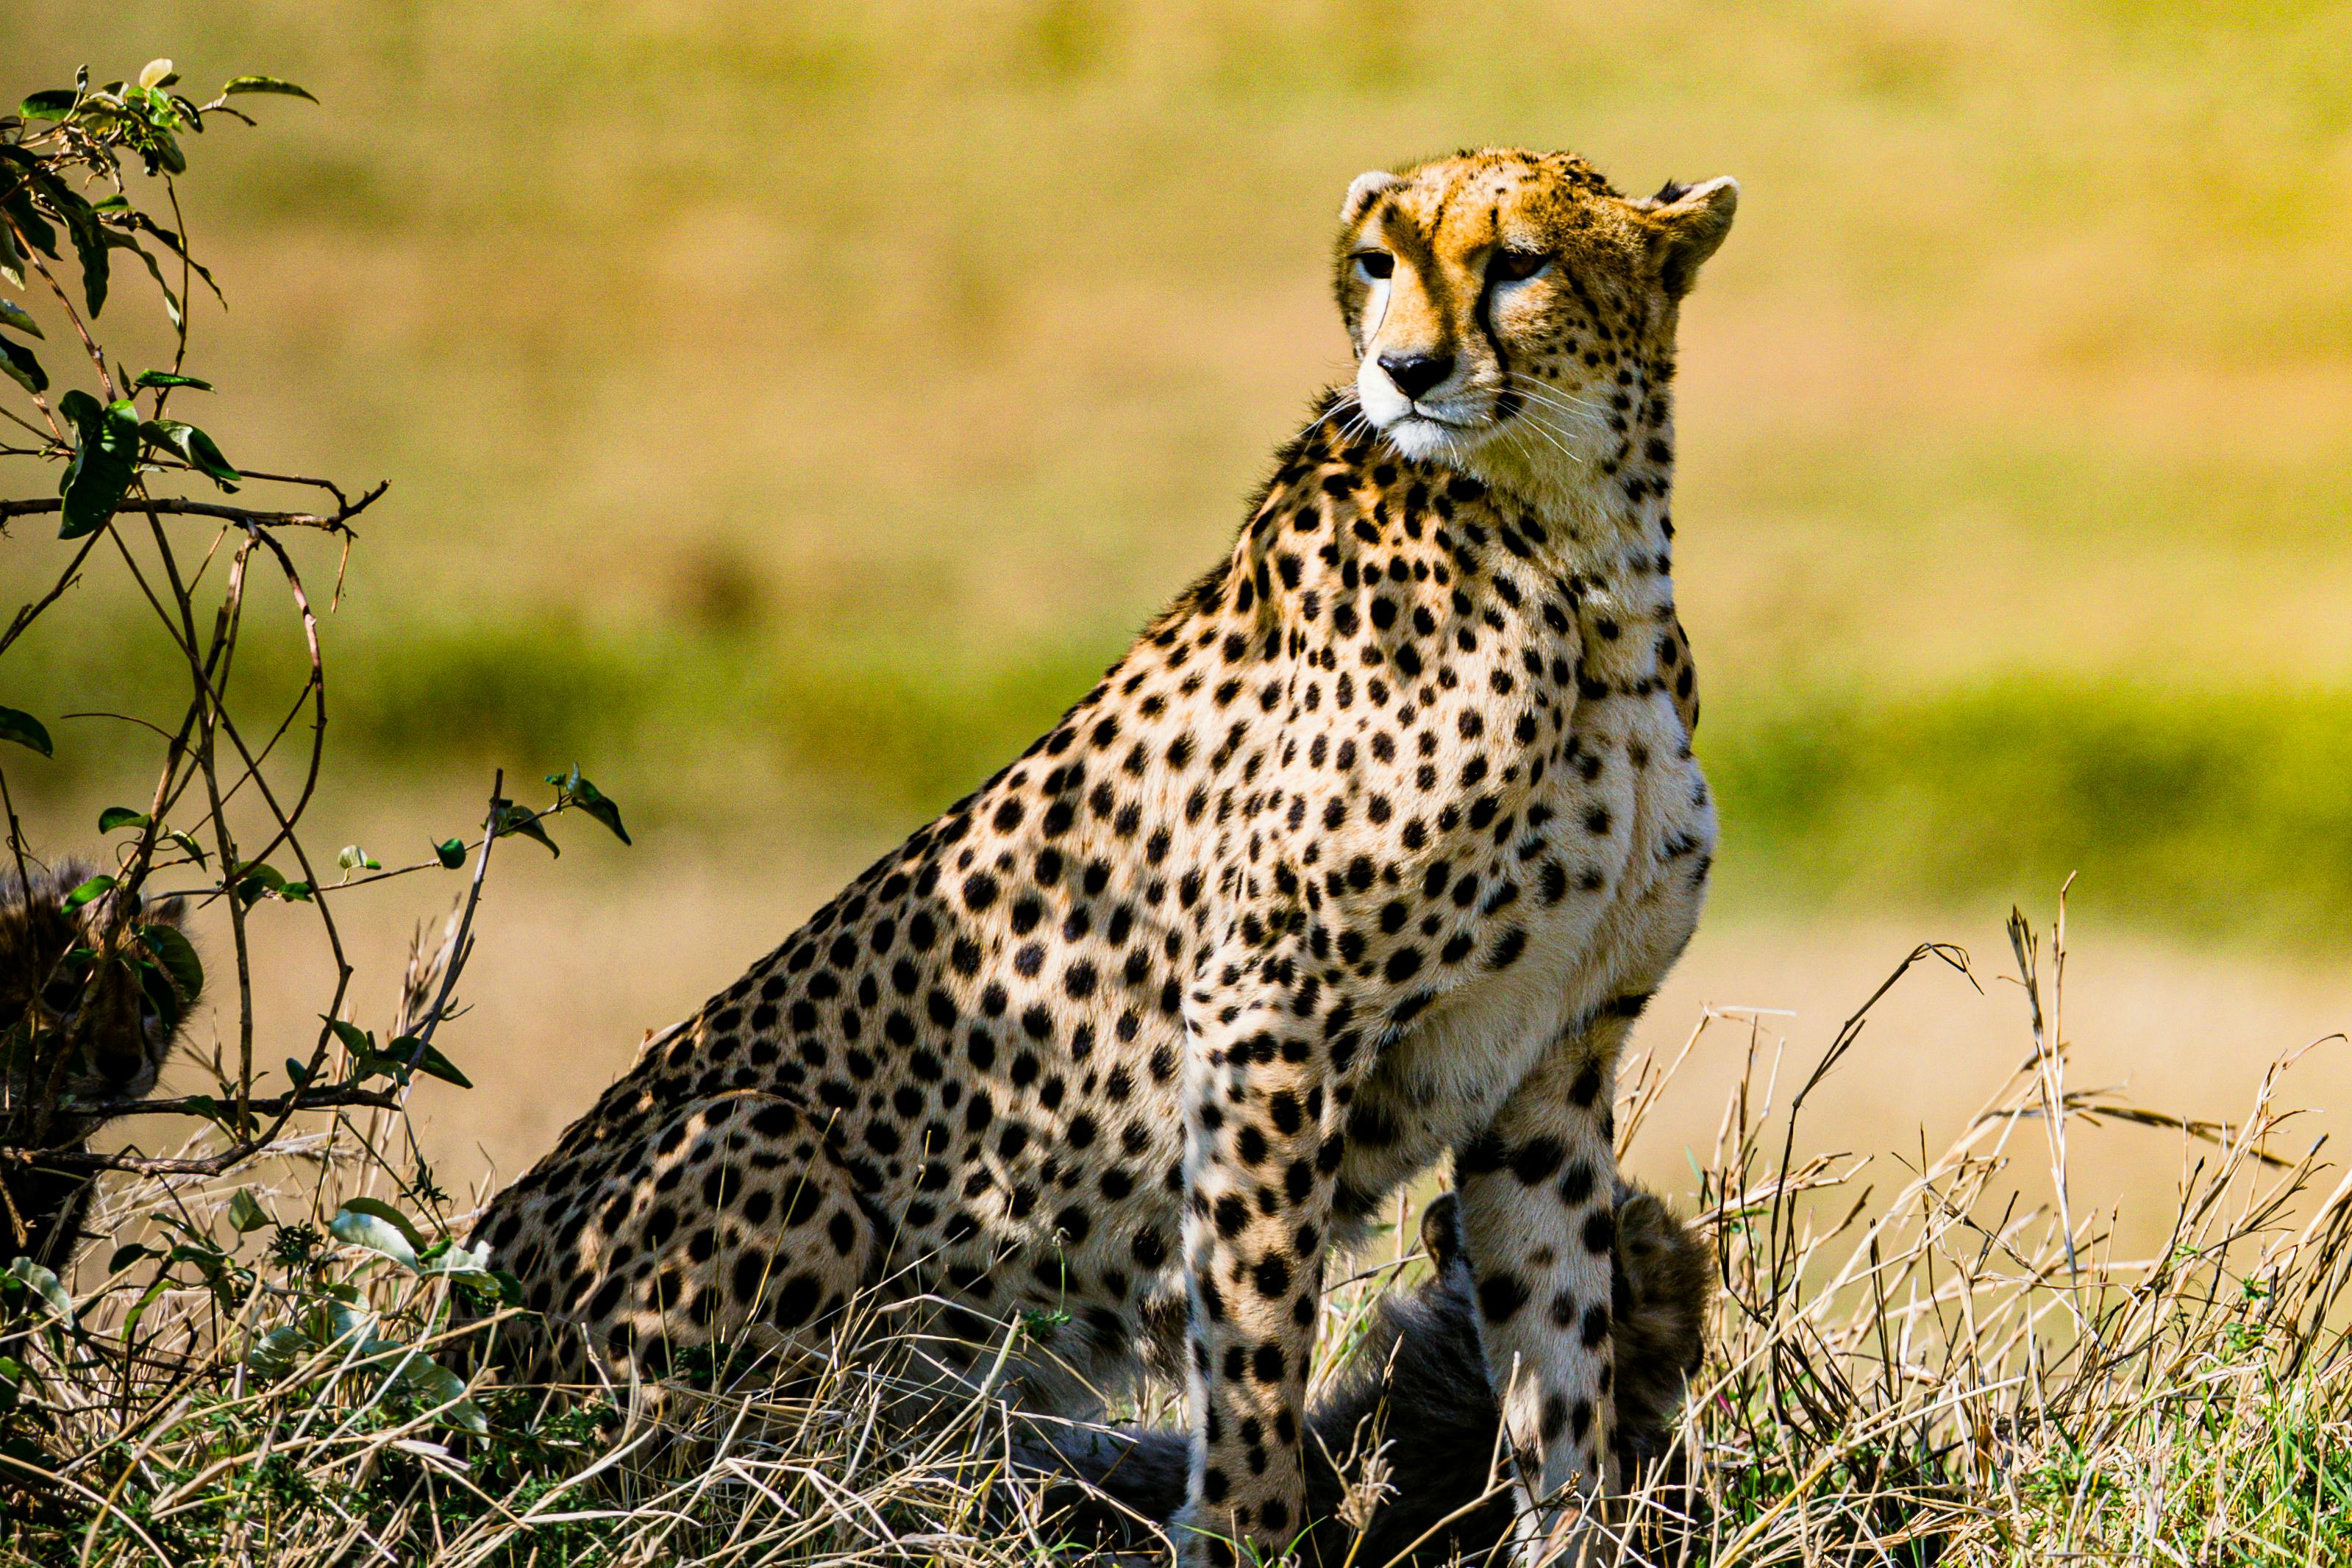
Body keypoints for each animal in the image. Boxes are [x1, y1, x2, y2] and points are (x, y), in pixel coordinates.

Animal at [472, 145, 1736, 1565]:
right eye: (1377, 263)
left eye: (1517, 263)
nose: (1404, 372)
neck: (1583, 559)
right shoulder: (1267, 1010)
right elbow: (1254, 1335)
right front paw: (1244, 1535)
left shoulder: (1550, 1059)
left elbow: (1559, 1359)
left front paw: (1575, 1526)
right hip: (761, 1141)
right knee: (714, 1473)